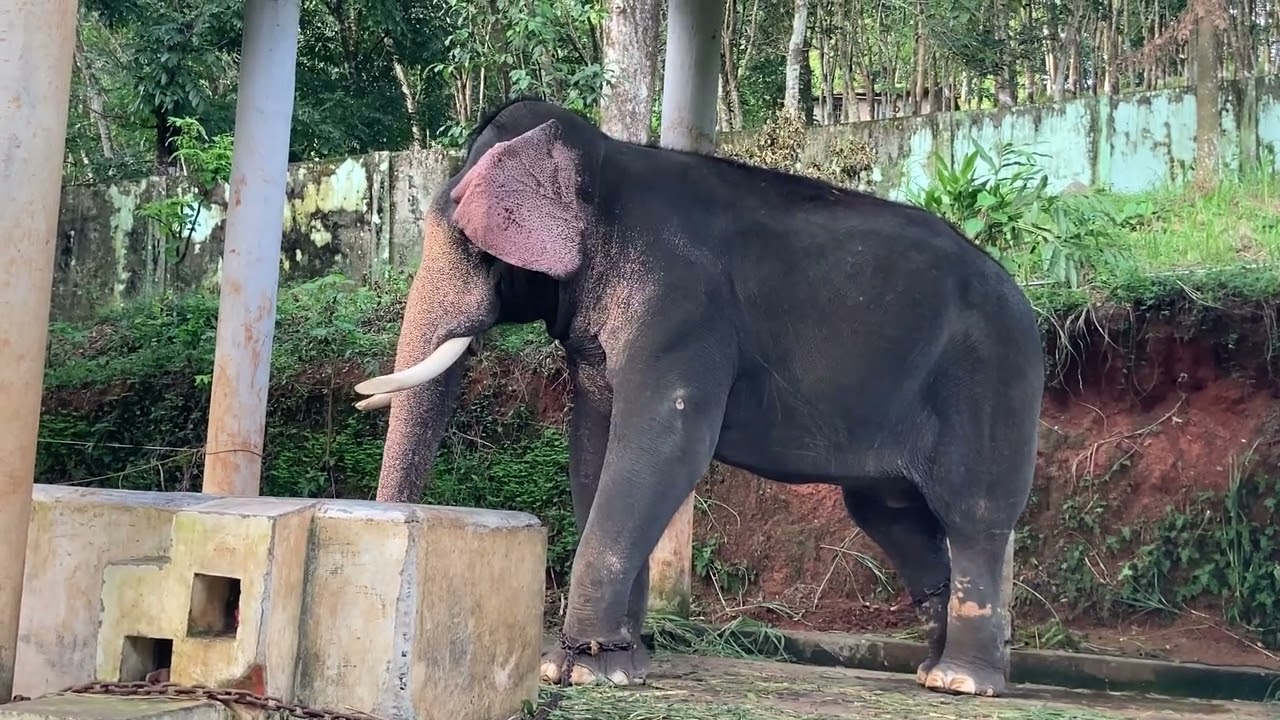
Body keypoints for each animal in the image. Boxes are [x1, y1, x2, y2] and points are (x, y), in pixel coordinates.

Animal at [353, 96, 1045, 698]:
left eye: (469, 243)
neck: (605, 162)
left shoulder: (681, 308)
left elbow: (663, 446)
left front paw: (578, 672)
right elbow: (594, 449)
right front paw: (623, 665)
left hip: (992, 377)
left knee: (973, 513)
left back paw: (962, 682)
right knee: (891, 512)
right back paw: (931, 671)